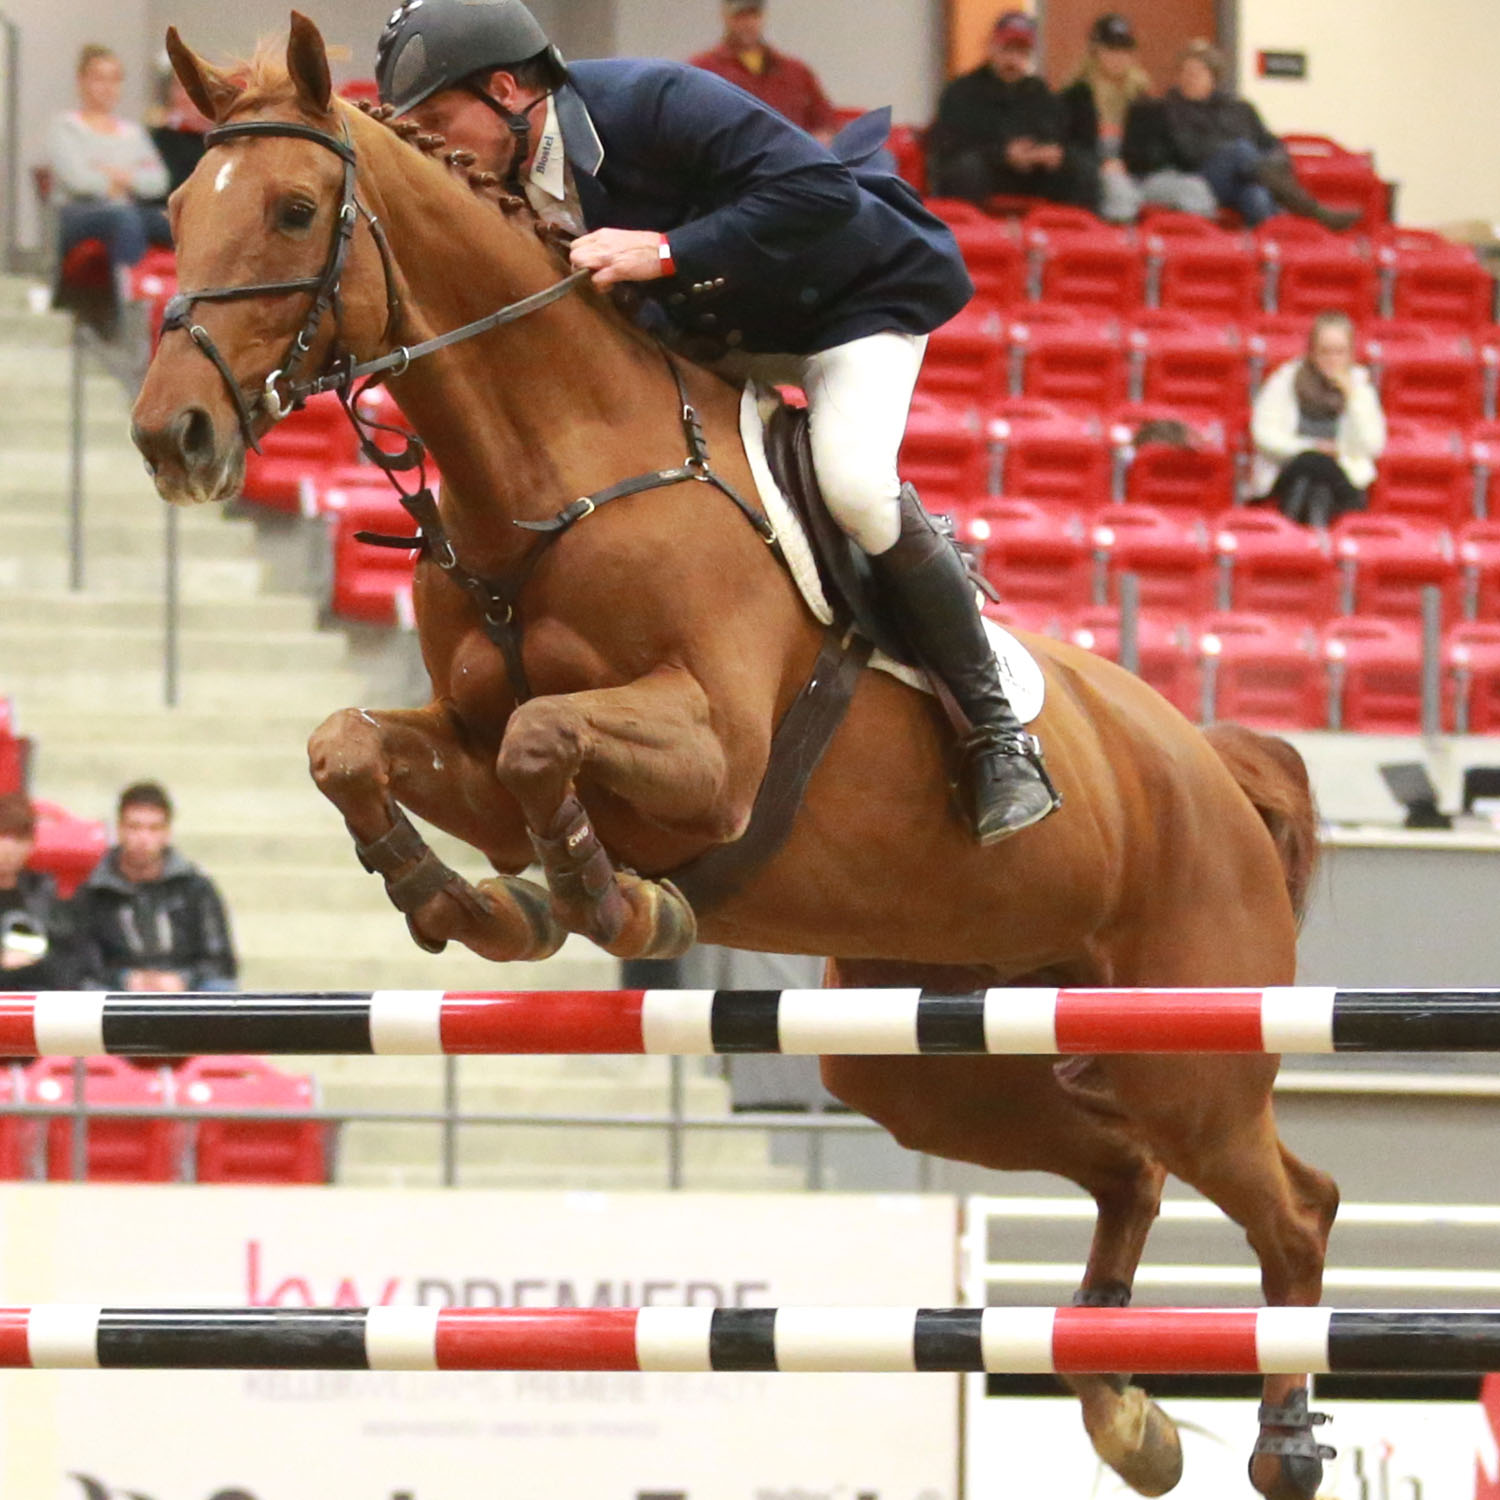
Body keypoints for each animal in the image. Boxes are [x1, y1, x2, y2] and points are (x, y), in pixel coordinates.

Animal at [132, 17, 1338, 1497]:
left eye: (298, 210)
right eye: (177, 211)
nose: (171, 436)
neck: (551, 466)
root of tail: (1212, 766)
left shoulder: (708, 754)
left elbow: (542, 743)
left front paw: (606, 905)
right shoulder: (464, 745)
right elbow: (353, 744)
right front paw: (475, 904)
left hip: (1190, 1043)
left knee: (1290, 1206)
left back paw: (1282, 1435)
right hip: (928, 1053)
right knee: (1126, 1170)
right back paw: (1127, 1412)